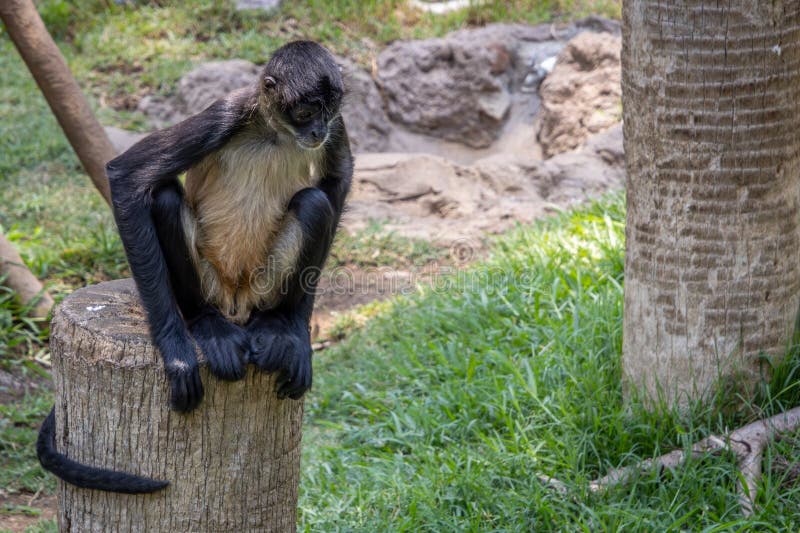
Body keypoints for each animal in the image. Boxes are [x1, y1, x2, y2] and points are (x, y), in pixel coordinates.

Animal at [36, 41, 353, 493]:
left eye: (329, 110)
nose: (318, 132)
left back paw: (276, 323)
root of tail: (237, 301)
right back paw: (206, 323)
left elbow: (337, 179)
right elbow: (126, 176)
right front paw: (176, 352)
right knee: (166, 196)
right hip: (211, 282)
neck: (274, 132)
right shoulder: (226, 114)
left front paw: (297, 328)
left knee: (314, 202)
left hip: (265, 282)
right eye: (307, 111)